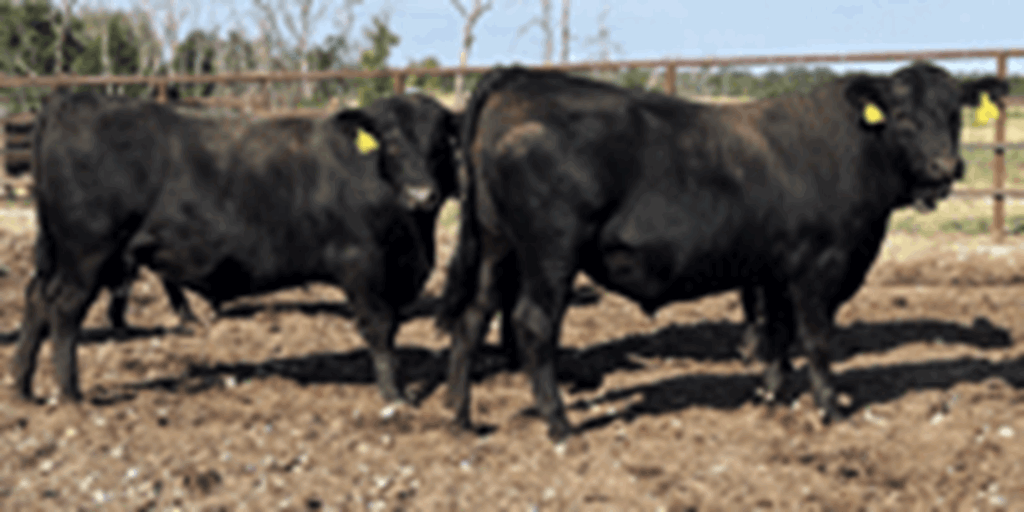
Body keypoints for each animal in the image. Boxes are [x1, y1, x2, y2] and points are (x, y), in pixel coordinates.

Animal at [436, 63, 1007, 441]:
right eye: (903, 116)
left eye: (955, 113)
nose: (945, 167)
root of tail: (521, 81)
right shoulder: (818, 269)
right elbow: (817, 338)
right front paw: (830, 408)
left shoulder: (777, 270)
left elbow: (778, 334)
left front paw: (772, 395)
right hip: (551, 252)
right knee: (534, 324)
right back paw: (559, 424)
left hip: (495, 246)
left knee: (473, 317)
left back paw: (461, 418)